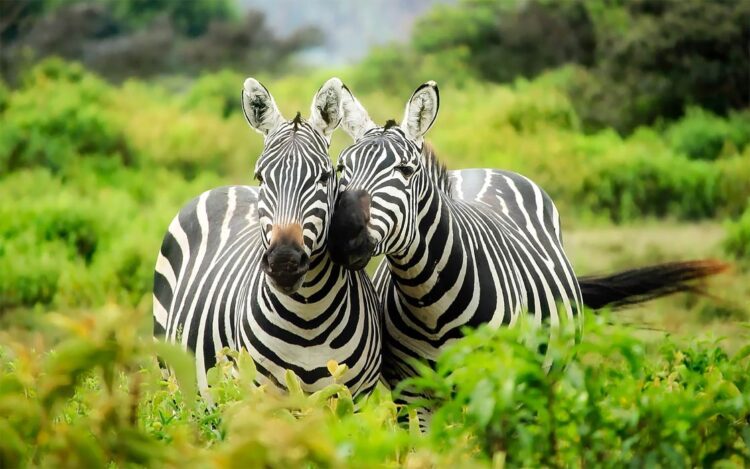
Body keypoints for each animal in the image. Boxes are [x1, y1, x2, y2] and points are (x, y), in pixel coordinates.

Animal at [152, 77, 381, 398]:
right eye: (261, 177)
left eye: (325, 177)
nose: (284, 262)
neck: (309, 317)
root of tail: (224, 187)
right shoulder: (261, 394)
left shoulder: (354, 397)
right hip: (171, 379)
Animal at [325, 80, 727, 414]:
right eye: (342, 168)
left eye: (406, 171)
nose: (343, 234)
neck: (429, 301)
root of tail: (483, 170)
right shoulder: (411, 394)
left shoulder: (495, 384)